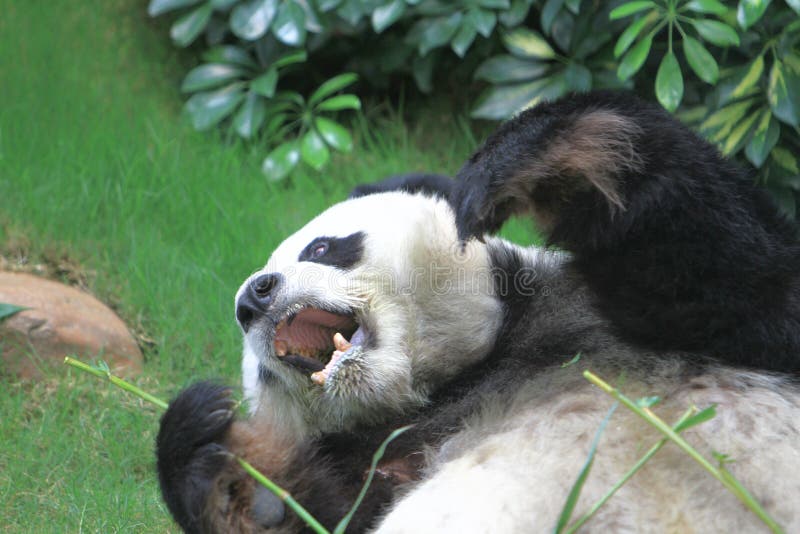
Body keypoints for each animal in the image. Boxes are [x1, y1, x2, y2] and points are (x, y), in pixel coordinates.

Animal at [156, 91, 800, 533]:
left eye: (322, 248)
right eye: (259, 374)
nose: (252, 297)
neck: (460, 380)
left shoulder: (597, 316)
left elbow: (726, 261)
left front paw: (530, 160)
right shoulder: (383, 458)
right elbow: (323, 515)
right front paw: (216, 457)